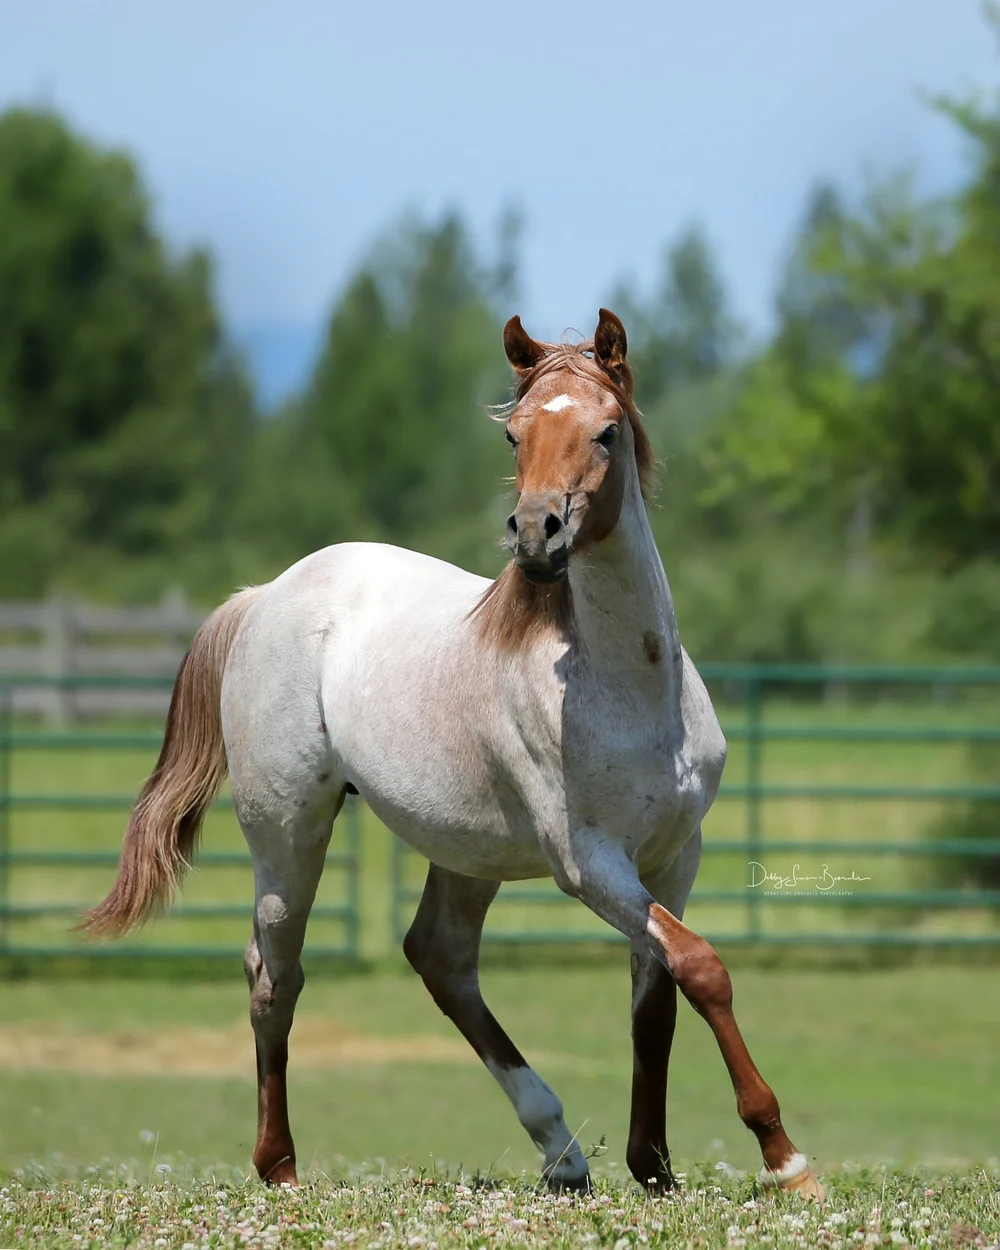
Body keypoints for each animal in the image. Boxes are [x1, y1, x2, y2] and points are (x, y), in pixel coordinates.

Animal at [84, 309, 823, 1201]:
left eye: (607, 430)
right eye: (514, 435)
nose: (537, 533)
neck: (630, 683)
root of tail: (263, 597)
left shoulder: (674, 853)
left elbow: (658, 995)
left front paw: (655, 1169)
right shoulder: (590, 865)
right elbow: (702, 967)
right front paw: (785, 1159)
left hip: (467, 853)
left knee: (440, 959)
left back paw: (562, 1153)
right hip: (289, 835)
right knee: (276, 976)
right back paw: (282, 1167)